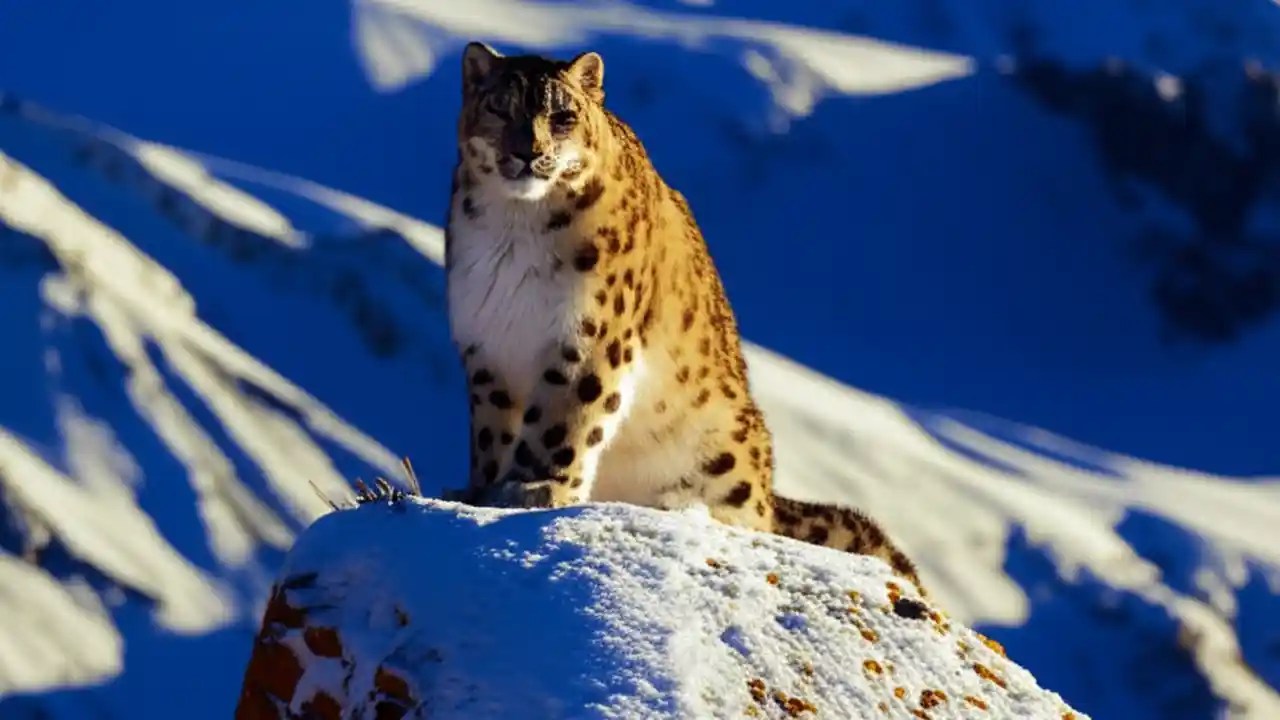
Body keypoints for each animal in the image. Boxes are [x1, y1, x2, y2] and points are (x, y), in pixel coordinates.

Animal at [442, 42, 924, 596]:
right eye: (500, 107)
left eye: (563, 117)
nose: (527, 152)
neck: (515, 229)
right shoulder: (488, 342)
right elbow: (492, 428)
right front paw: (480, 488)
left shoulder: (587, 338)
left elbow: (562, 420)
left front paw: (532, 486)